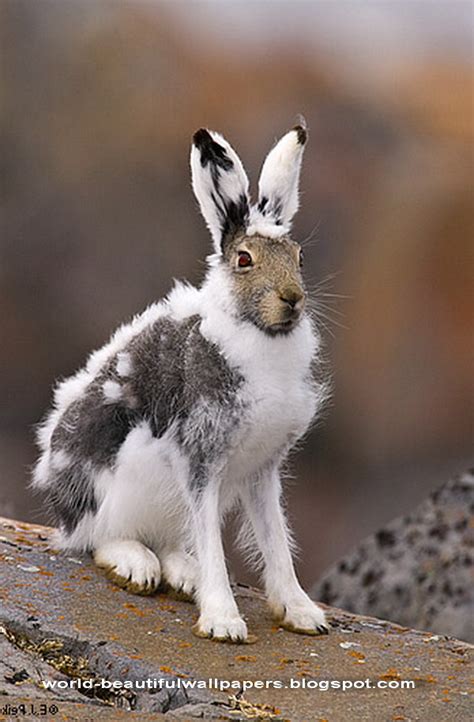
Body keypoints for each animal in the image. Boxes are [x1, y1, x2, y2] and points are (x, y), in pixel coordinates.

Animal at [32, 122, 330, 643]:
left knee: (172, 544)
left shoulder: (262, 468)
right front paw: (223, 623)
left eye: (299, 256)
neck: (258, 334)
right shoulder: (200, 457)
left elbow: (276, 539)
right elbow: (213, 540)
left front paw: (302, 614)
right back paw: (136, 566)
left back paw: (182, 574)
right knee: (99, 539)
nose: (292, 298)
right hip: (121, 482)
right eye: (244, 260)